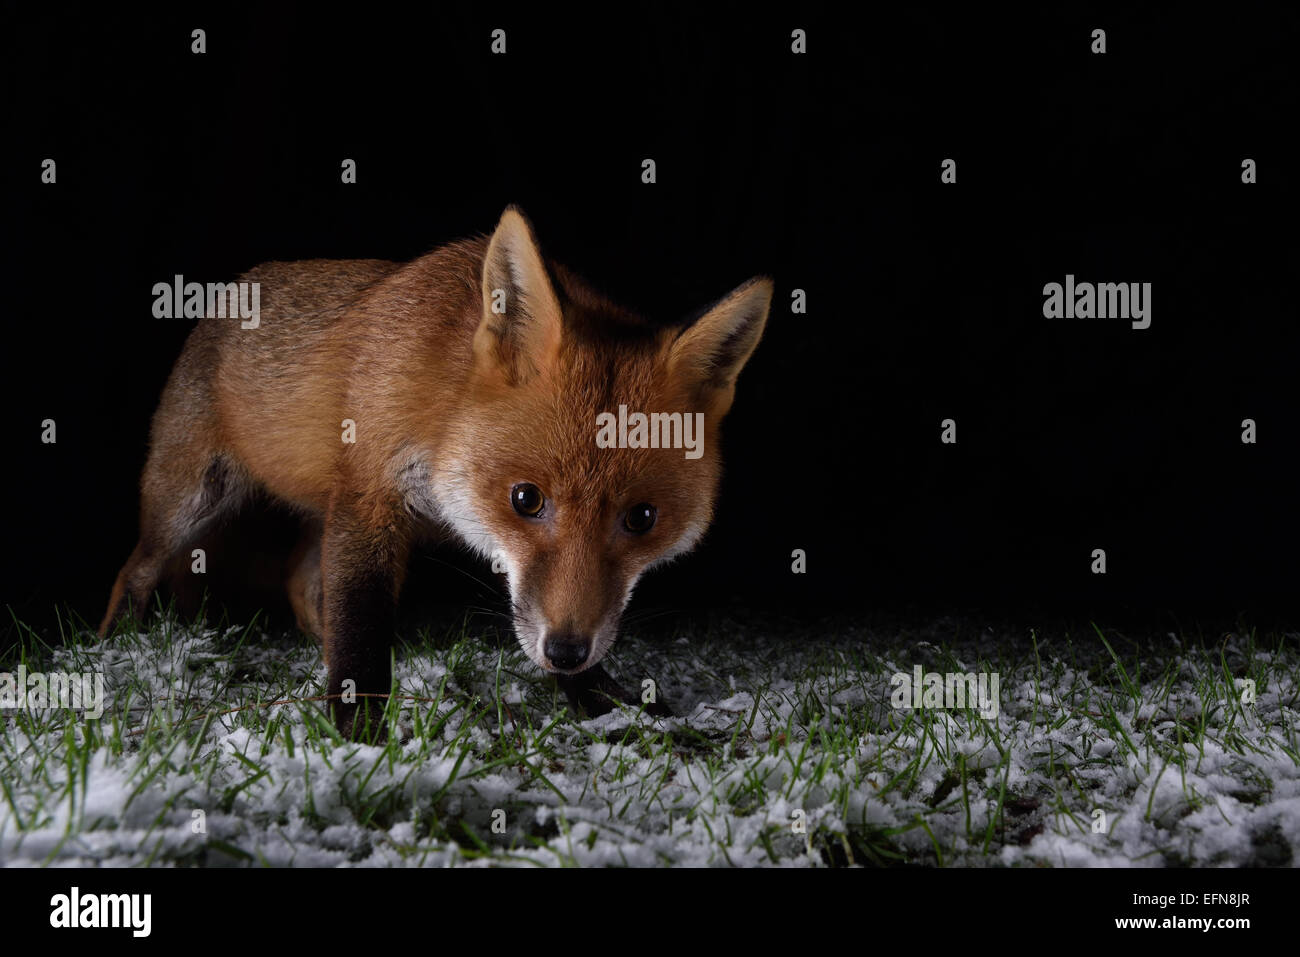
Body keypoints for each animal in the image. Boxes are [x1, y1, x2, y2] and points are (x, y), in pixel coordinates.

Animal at [99, 206, 772, 737]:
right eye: (526, 499)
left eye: (642, 519)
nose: (565, 653)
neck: (442, 410)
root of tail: (233, 288)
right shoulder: (372, 497)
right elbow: (363, 626)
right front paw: (359, 731)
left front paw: (607, 703)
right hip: (191, 502)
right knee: (136, 568)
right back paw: (111, 647)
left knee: (297, 579)